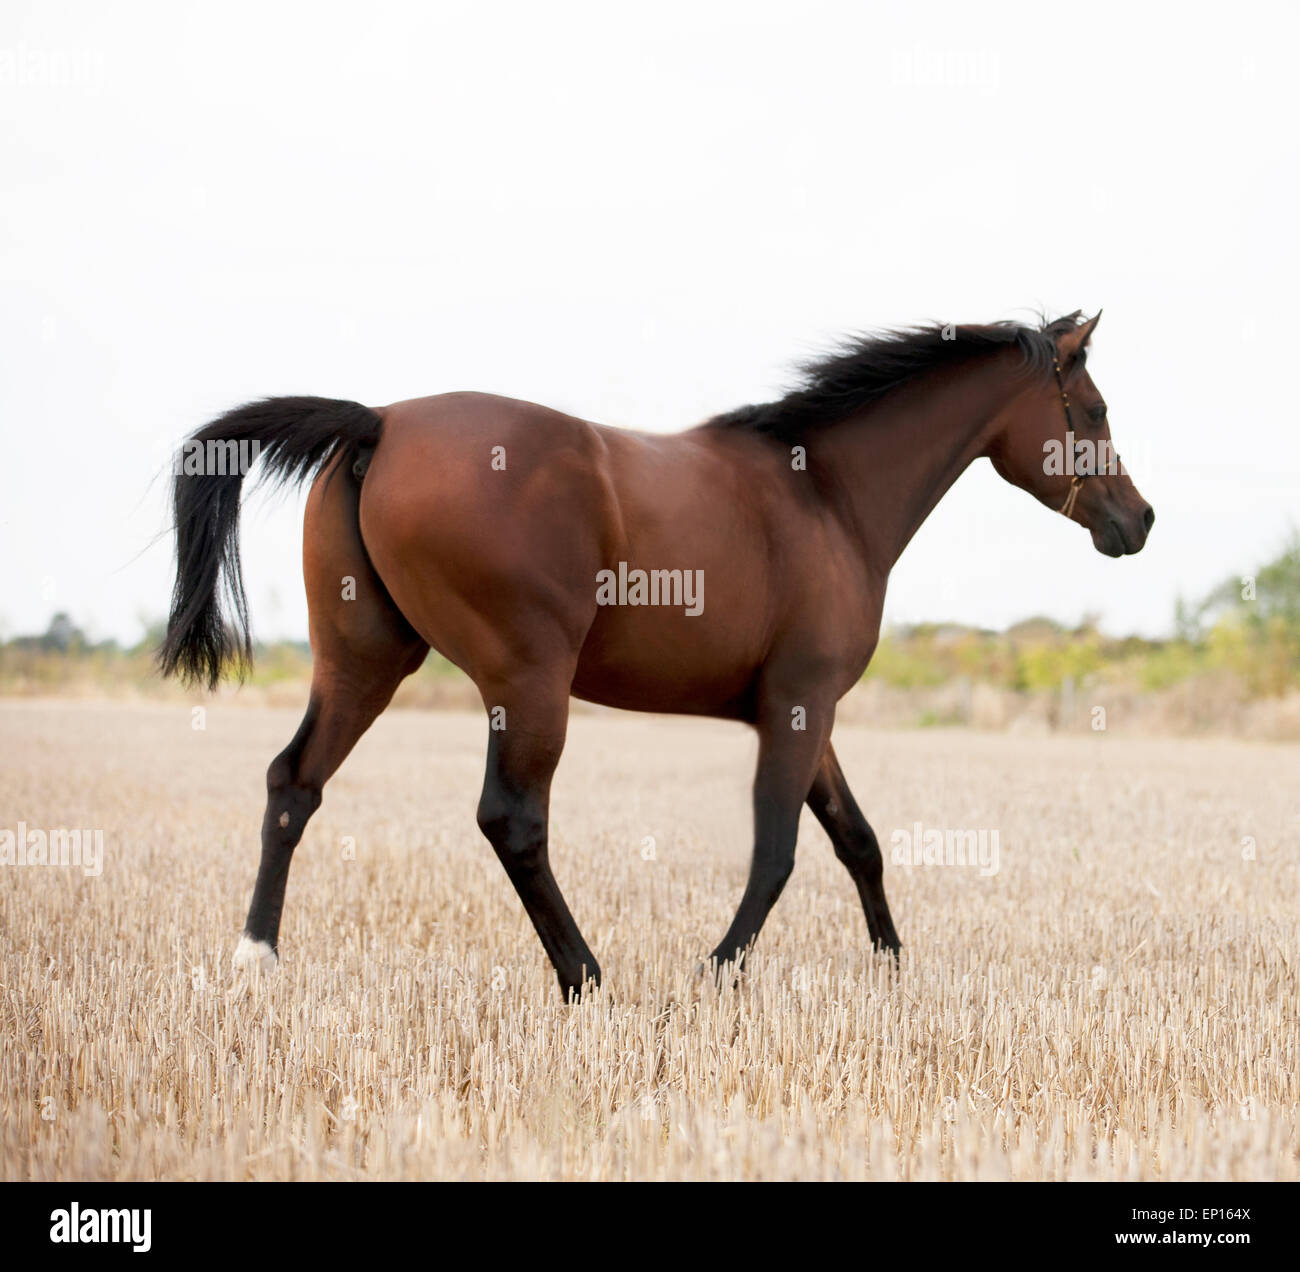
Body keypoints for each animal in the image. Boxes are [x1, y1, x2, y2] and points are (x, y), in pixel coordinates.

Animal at [159, 310, 1153, 1000]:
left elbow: (858, 841)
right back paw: (586, 977)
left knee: (294, 783)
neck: (826, 496)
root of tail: (381, 422)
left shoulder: (807, 711)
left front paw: (892, 966)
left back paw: (256, 958)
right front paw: (714, 971)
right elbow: (779, 851)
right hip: (528, 684)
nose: (1138, 522)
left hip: (363, 664)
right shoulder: (799, 707)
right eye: (1095, 411)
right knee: (512, 821)